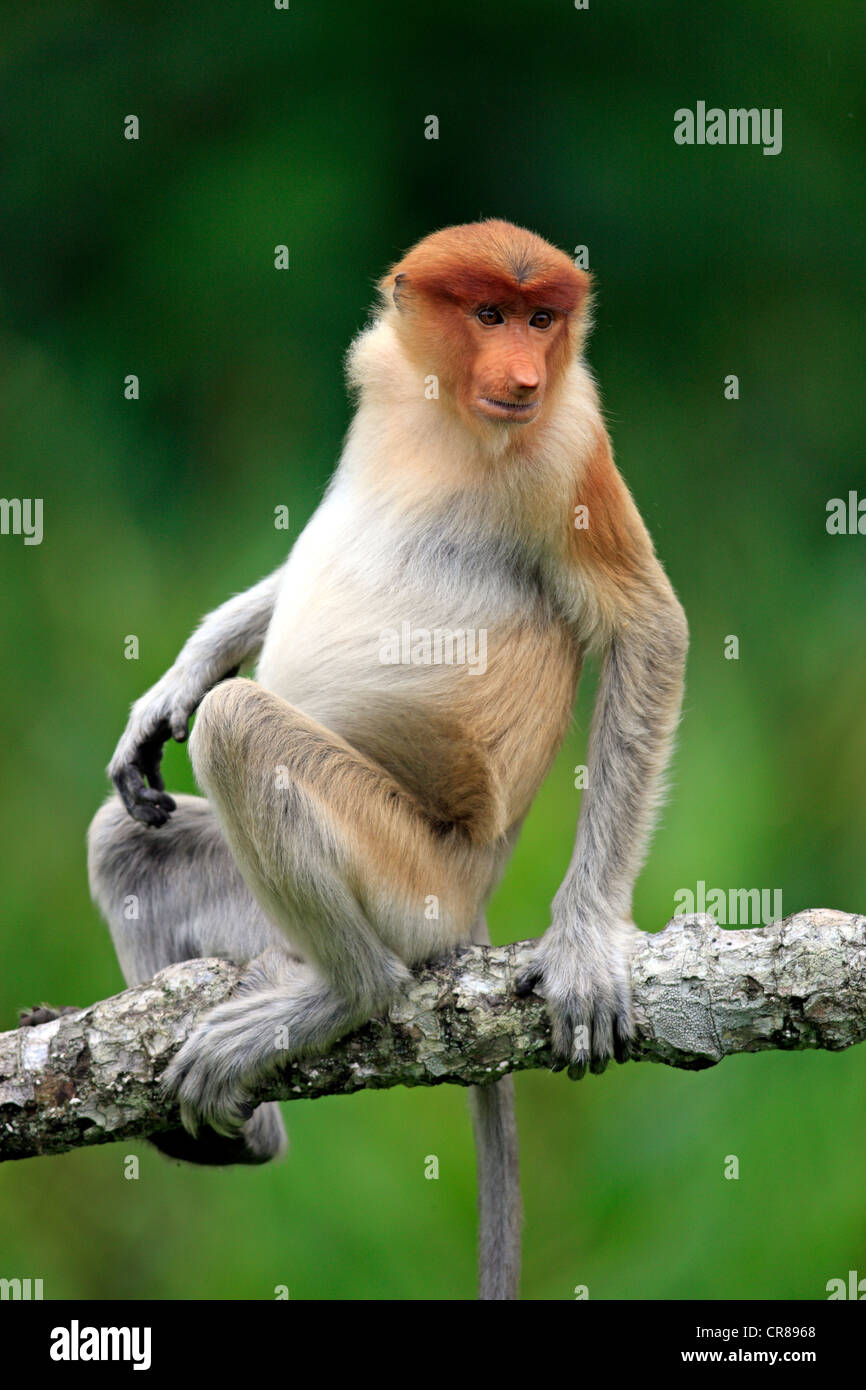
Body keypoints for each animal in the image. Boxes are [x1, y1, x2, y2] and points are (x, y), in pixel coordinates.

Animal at [86, 219, 688, 1300]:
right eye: (489, 314)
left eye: (542, 319)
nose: (523, 374)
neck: (445, 419)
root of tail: (470, 905)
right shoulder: (383, 380)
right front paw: (168, 692)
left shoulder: (567, 444)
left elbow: (646, 631)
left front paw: (584, 943)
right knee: (125, 841)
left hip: (412, 880)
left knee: (241, 728)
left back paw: (344, 993)